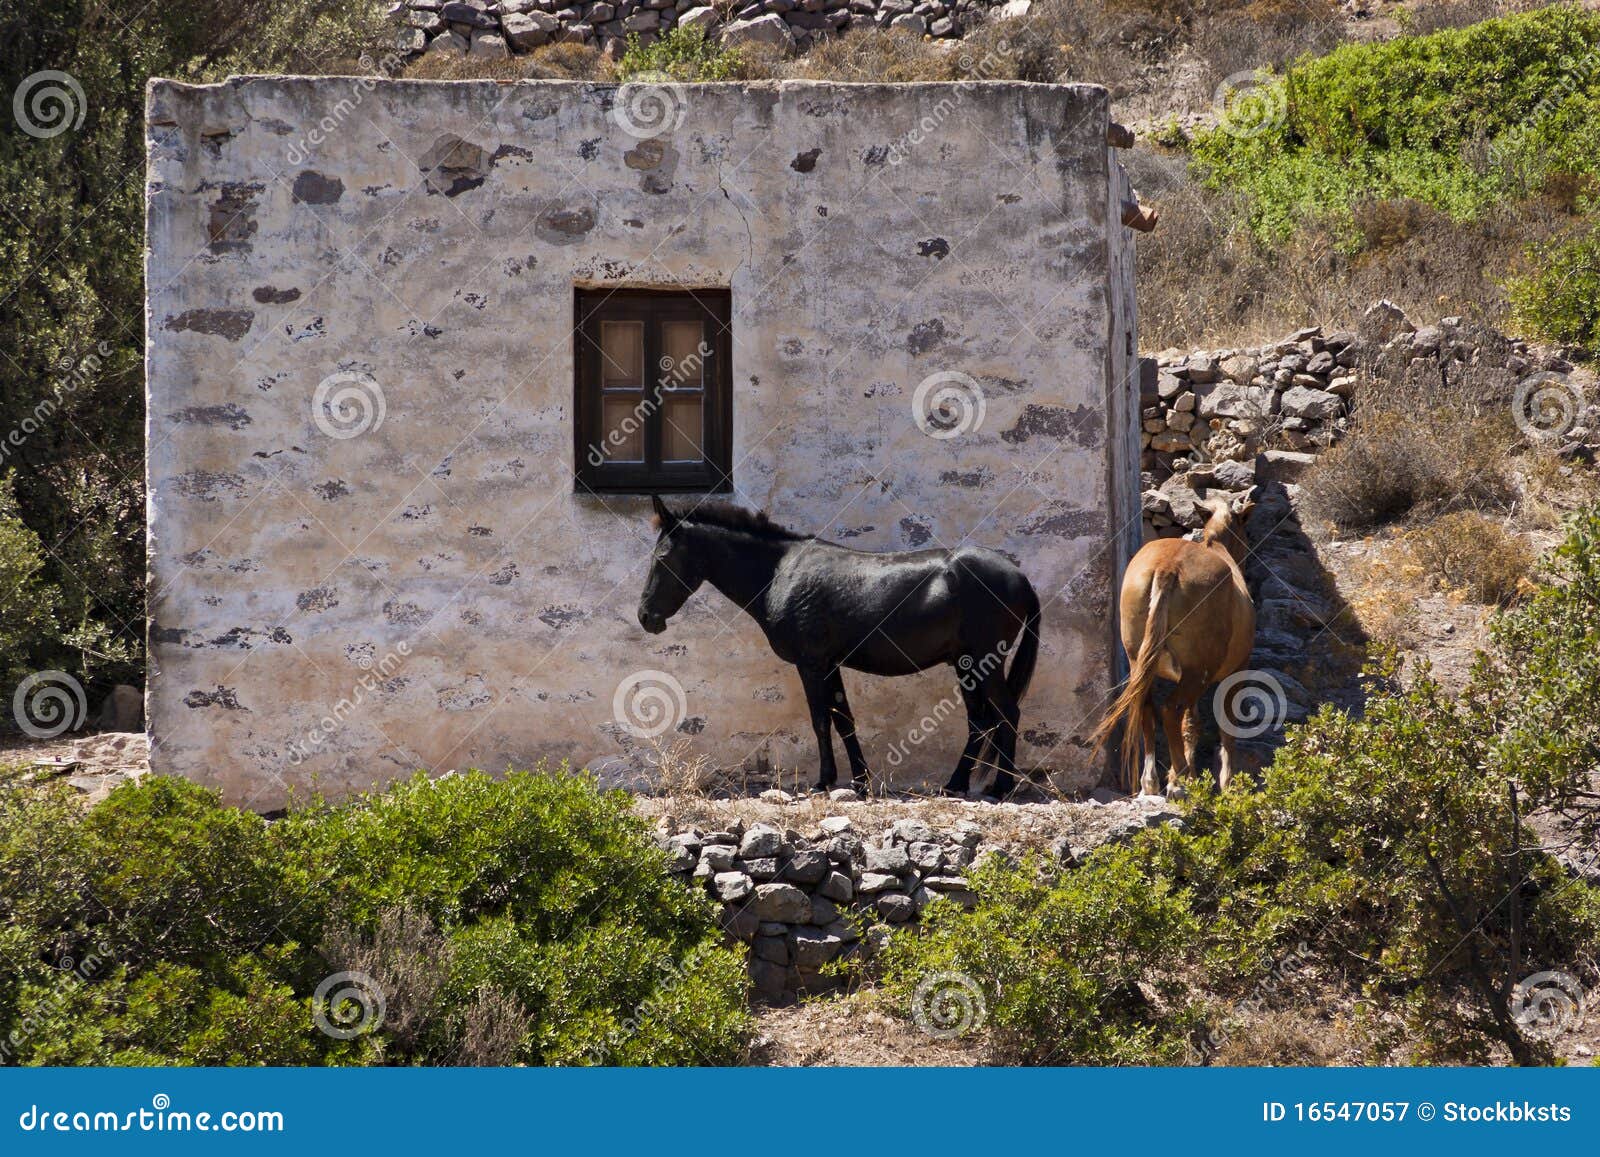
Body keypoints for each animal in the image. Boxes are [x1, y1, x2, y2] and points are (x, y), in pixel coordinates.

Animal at [636, 497, 1042, 800]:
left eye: (662, 558)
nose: (645, 617)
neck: (780, 572)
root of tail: (1020, 577)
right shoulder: (830, 664)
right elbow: (843, 719)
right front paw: (860, 782)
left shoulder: (811, 663)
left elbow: (820, 720)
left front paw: (823, 781)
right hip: (965, 663)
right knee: (980, 720)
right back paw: (955, 784)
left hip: (983, 661)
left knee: (1006, 713)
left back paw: (1000, 787)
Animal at [1089, 494, 1256, 798]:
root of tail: (1168, 567)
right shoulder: (1237, 669)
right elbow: (1225, 726)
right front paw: (1226, 783)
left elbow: (1191, 724)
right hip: (1197, 670)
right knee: (1171, 710)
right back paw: (1178, 779)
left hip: (1140, 661)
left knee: (1147, 708)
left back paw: (1152, 781)